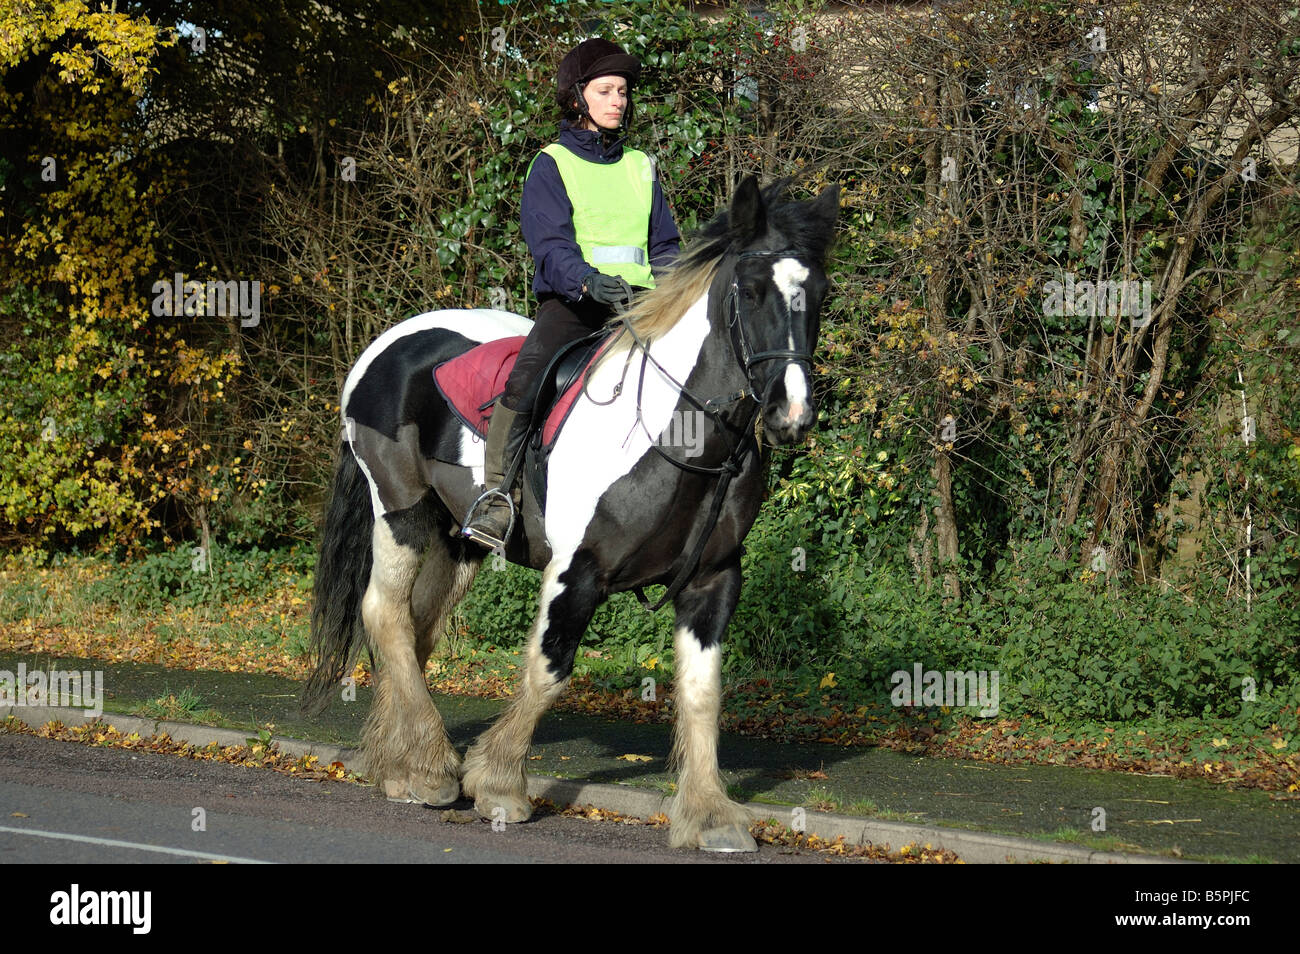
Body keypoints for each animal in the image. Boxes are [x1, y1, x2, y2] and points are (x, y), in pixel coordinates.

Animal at [302, 176, 839, 852]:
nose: (792, 414)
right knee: (384, 613)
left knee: (415, 625)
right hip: (402, 511)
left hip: (461, 539)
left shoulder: (713, 582)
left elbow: (702, 692)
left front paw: (711, 814)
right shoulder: (576, 571)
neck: (676, 435)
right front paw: (500, 784)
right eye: (750, 290)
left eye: (818, 293)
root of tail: (385, 344)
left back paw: (402, 766)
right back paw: (431, 765)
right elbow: (548, 670)